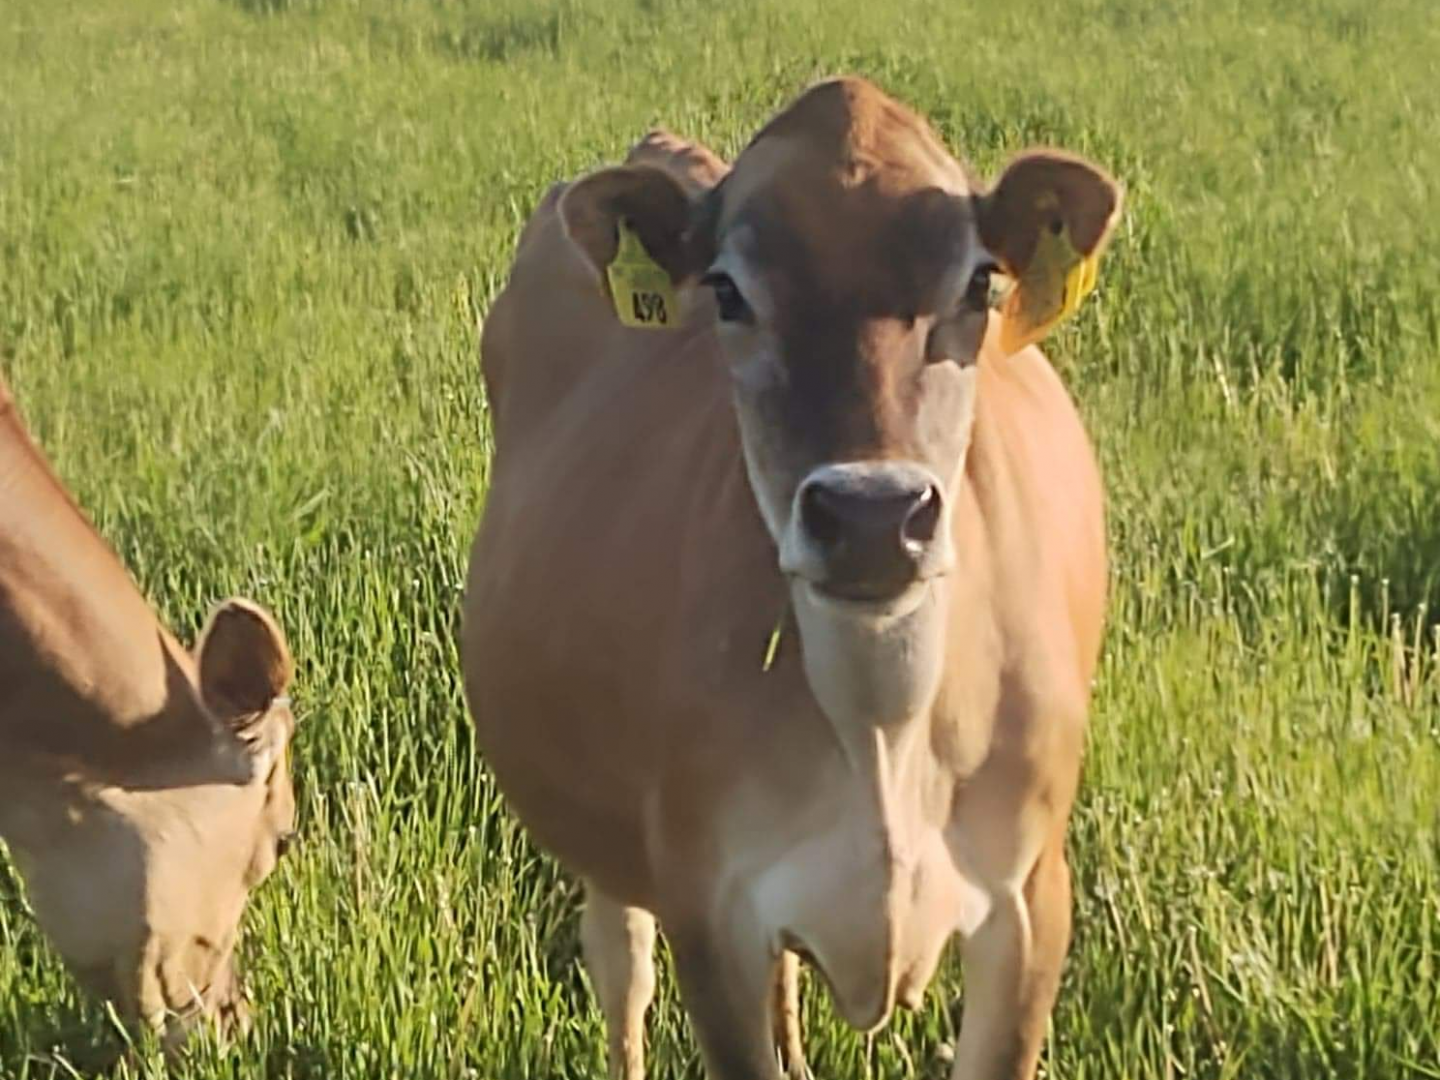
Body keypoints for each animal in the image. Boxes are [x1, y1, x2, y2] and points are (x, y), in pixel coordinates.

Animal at [463, 75, 1121, 1080]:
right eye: (728, 290)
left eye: (980, 281)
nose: (872, 517)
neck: (882, 727)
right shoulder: (710, 909)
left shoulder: (1030, 900)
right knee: (621, 965)